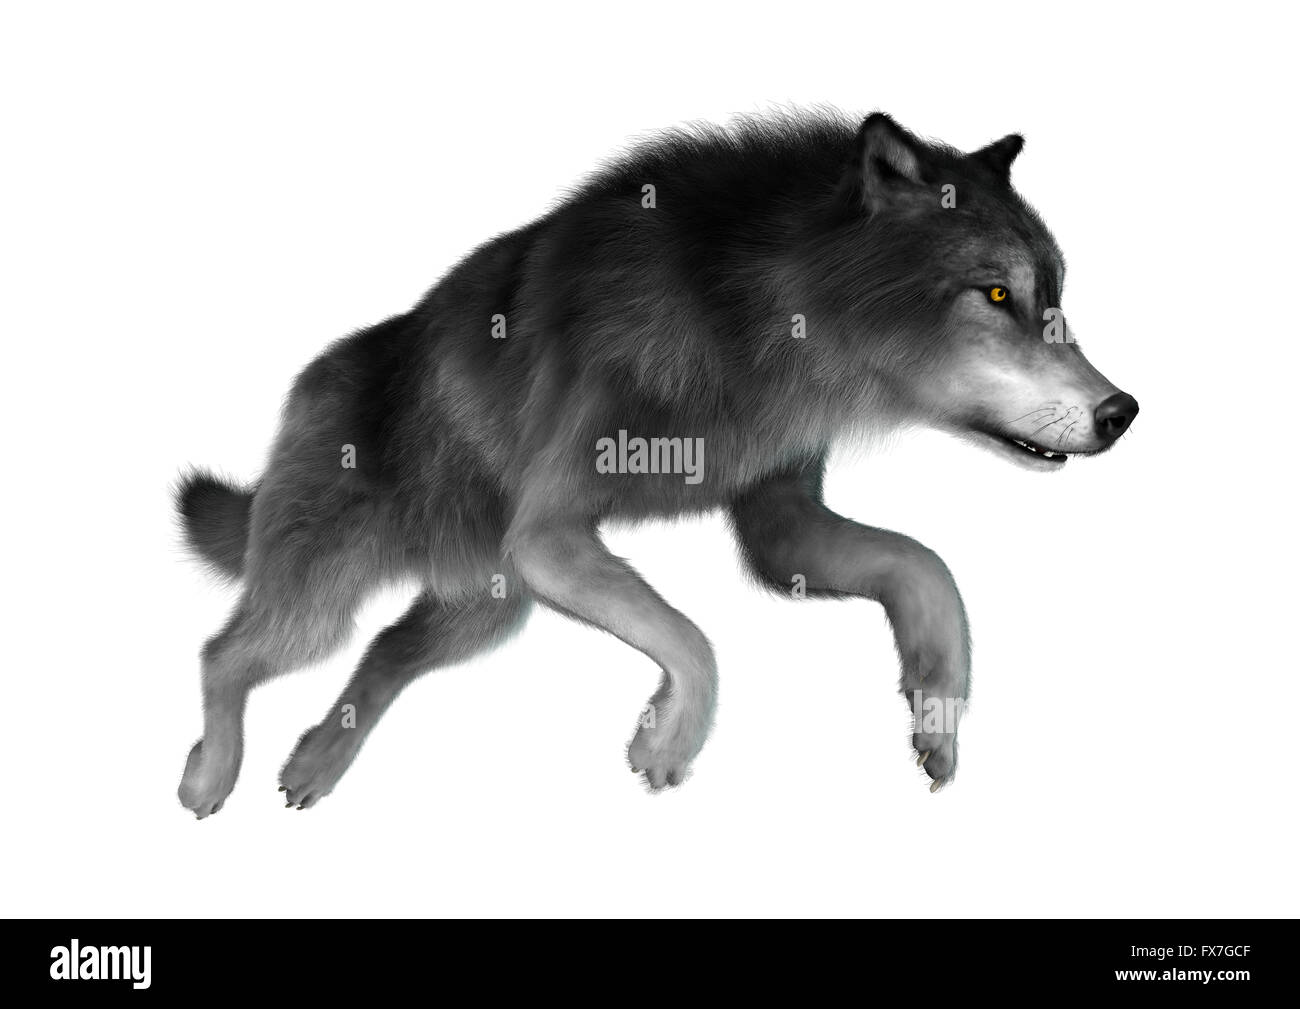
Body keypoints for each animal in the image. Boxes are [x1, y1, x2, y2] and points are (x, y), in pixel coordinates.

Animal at [175, 111, 1138, 816]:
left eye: (1057, 300)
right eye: (998, 293)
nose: (1122, 412)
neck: (753, 316)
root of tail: (304, 394)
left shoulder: (782, 525)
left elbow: (928, 568)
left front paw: (937, 714)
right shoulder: (549, 535)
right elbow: (692, 639)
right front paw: (669, 740)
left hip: (484, 614)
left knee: (380, 655)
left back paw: (314, 765)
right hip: (326, 608)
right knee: (223, 653)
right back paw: (207, 776)